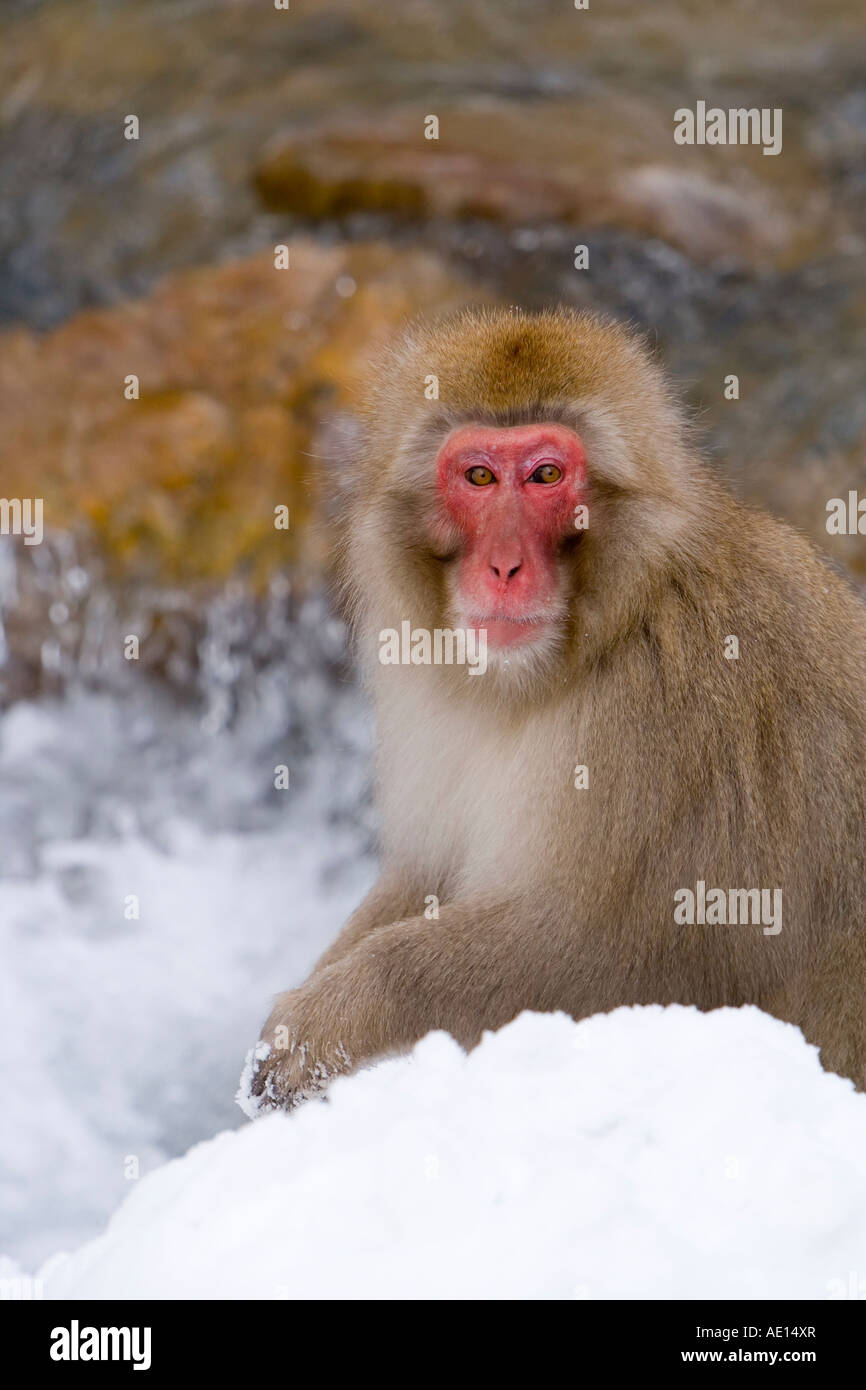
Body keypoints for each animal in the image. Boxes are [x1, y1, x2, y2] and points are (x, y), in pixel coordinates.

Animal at [245, 306, 866, 1112]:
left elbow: (611, 952)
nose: (505, 566)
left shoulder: (660, 713)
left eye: (546, 475)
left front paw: (339, 1011)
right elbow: (426, 874)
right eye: (479, 476)